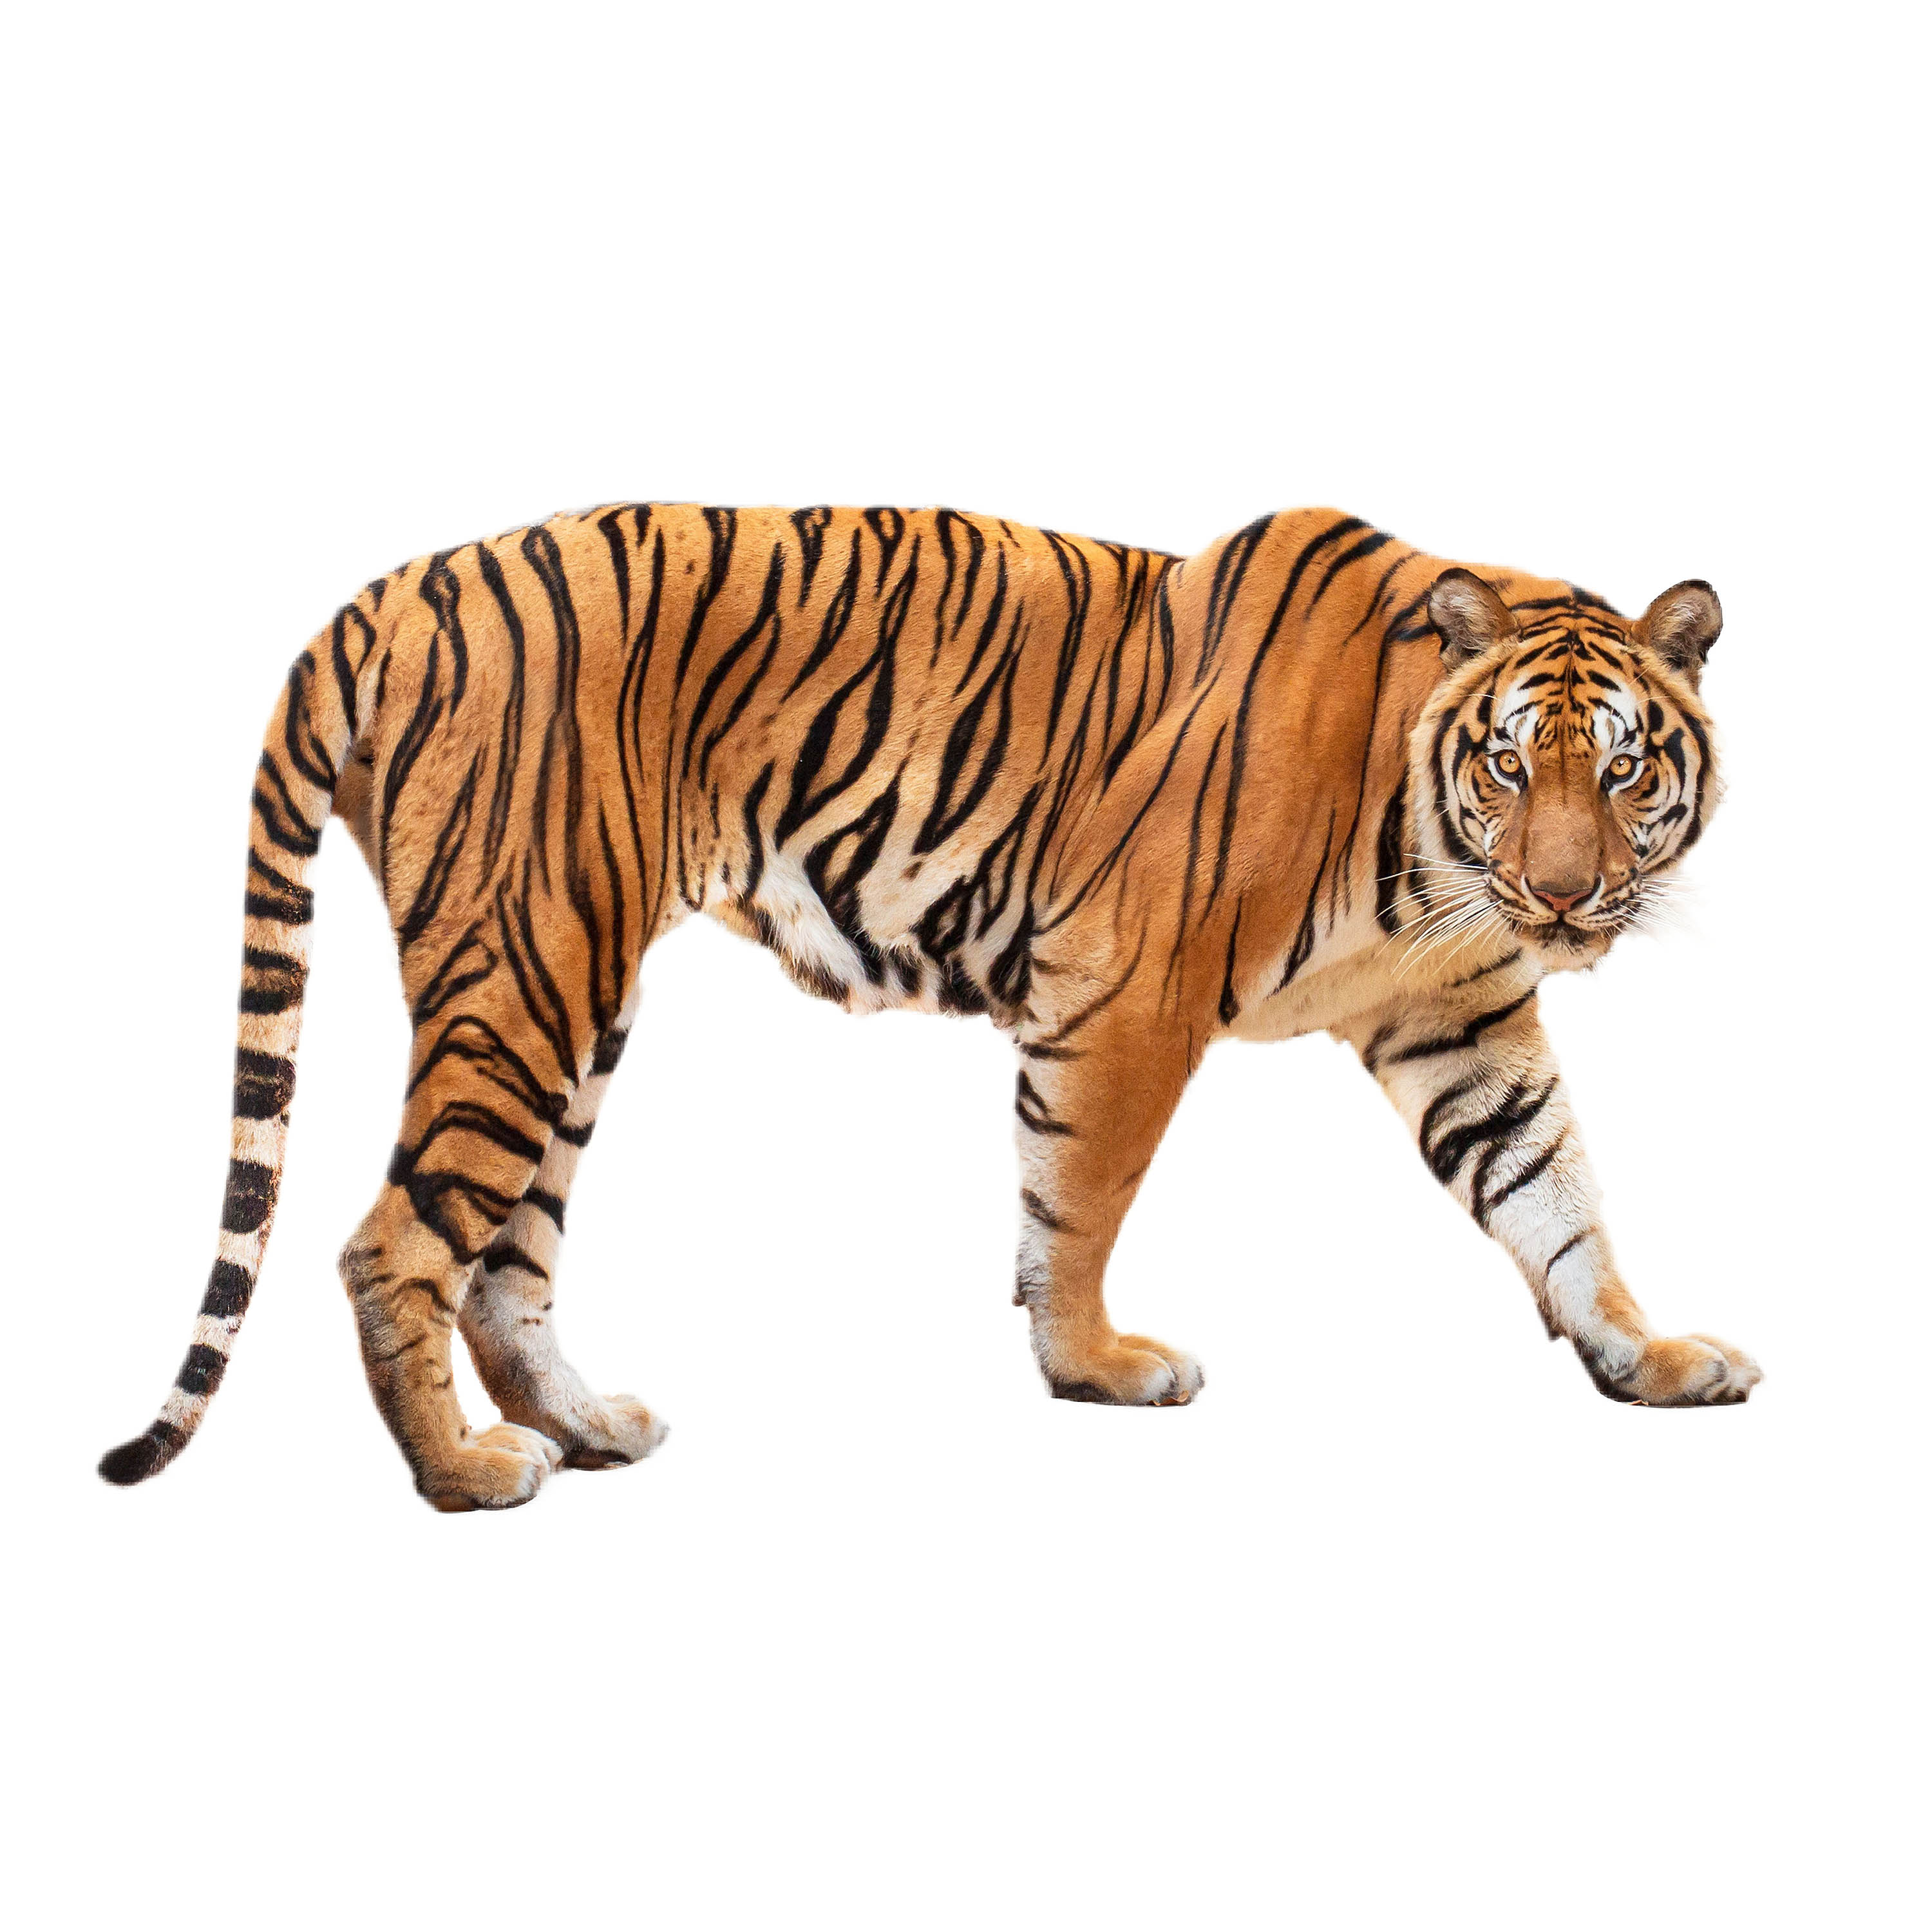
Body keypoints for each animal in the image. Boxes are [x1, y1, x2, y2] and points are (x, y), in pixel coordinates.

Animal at [99, 503, 1761, 1511]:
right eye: (1510, 762)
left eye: (1623, 768)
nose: (1565, 897)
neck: (1435, 861)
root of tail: (387, 591)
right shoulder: (1124, 990)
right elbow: (1076, 1197)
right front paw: (1098, 1367)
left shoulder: (1461, 1024)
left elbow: (1557, 1201)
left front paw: (1652, 1359)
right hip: (522, 972)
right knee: (392, 1242)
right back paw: (465, 1472)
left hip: (569, 1003)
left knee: (505, 1258)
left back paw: (584, 1430)